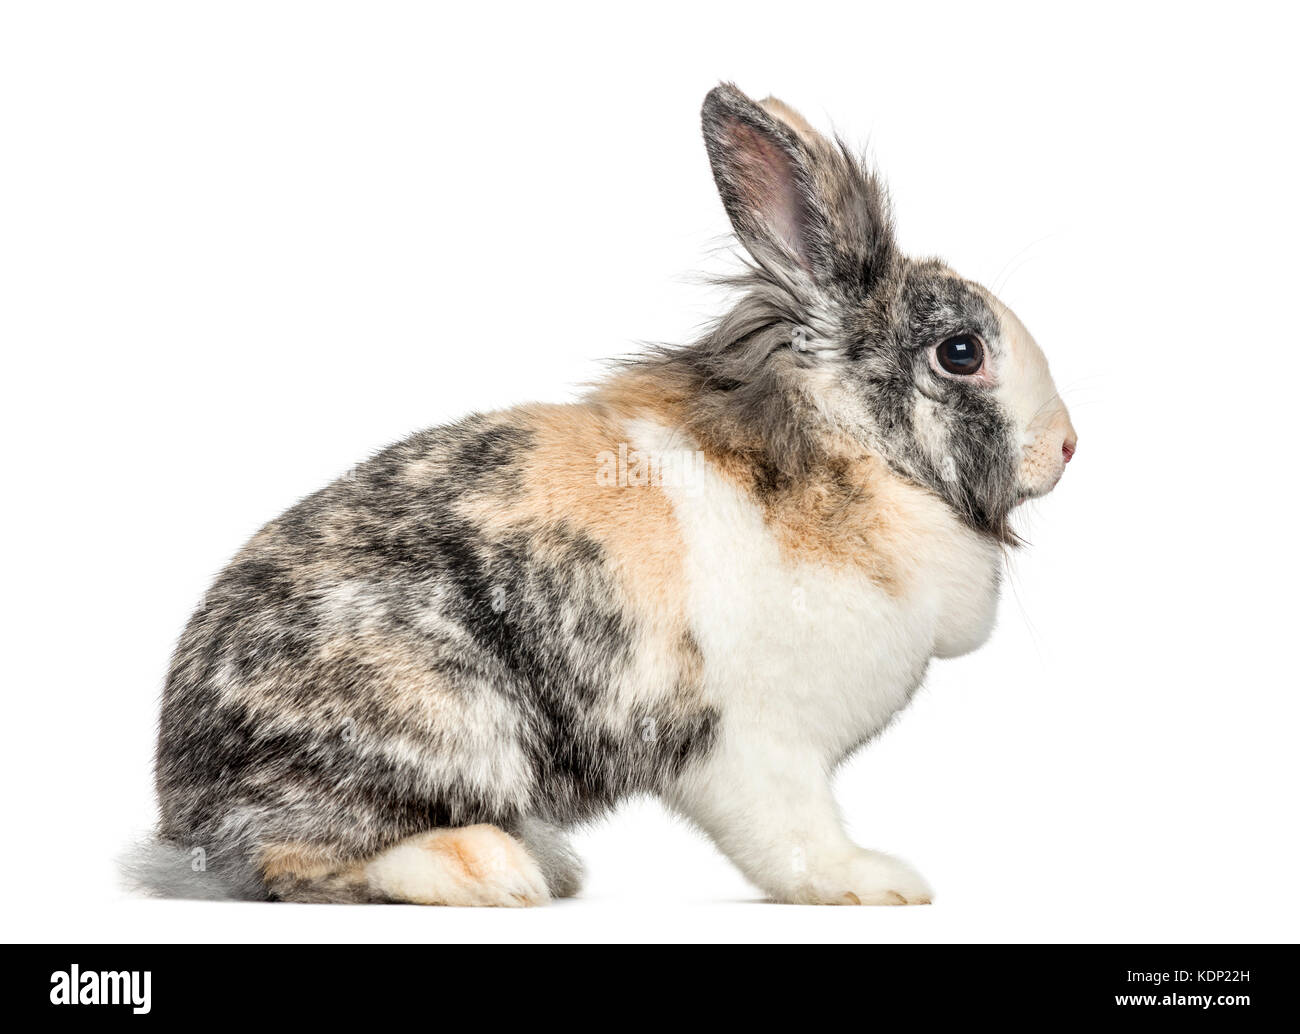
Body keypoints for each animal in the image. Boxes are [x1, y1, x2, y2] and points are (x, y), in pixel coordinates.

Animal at [124, 83, 1076, 907]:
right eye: (961, 352)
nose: (1068, 446)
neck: (847, 454)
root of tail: (185, 807)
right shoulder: (756, 745)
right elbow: (794, 836)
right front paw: (875, 884)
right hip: (441, 722)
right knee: (296, 858)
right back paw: (491, 871)